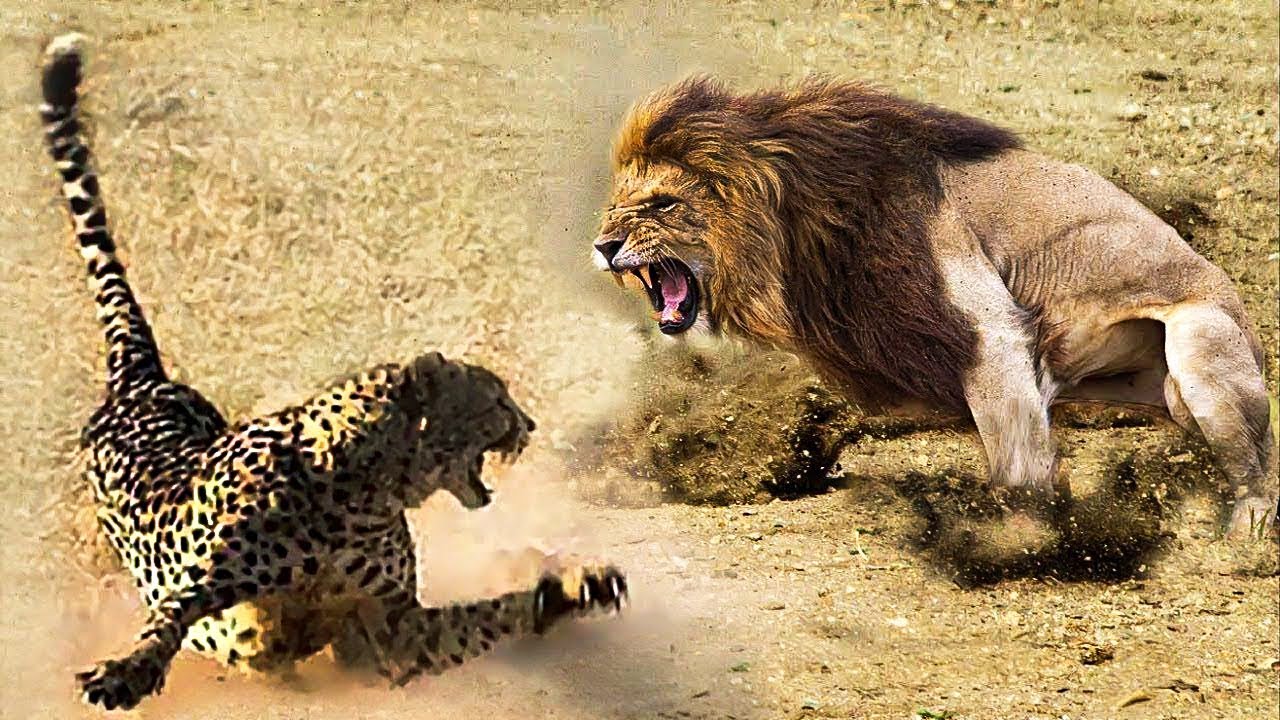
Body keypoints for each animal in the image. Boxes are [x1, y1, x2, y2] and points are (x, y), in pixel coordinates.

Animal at [39, 33, 626, 711]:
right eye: (496, 399)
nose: (529, 424)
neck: (361, 486)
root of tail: (142, 378)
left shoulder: (390, 631)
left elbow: (483, 616)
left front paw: (572, 591)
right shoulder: (208, 584)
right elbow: (173, 615)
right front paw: (126, 671)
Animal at [591, 76, 1276, 540]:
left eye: (661, 204)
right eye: (616, 206)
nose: (603, 246)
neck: (799, 223)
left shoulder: (990, 332)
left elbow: (1017, 453)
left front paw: (1024, 537)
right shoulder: (889, 352)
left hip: (1202, 351)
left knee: (1258, 463)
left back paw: (1245, 528)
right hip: (1143, 392)